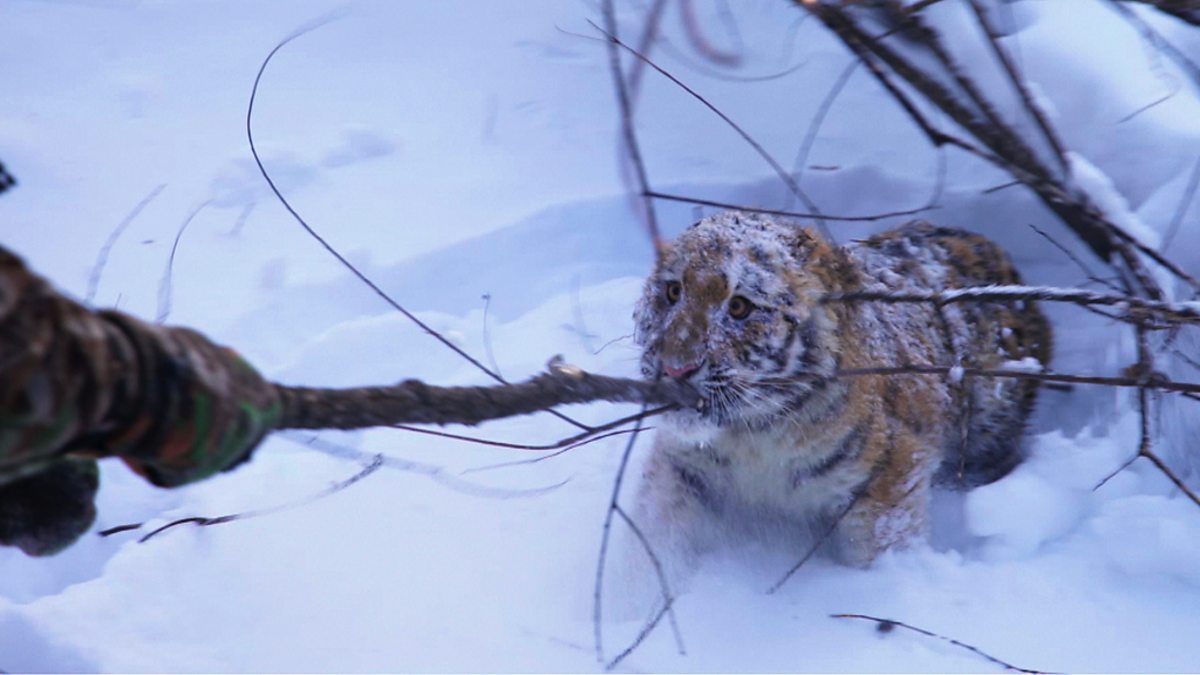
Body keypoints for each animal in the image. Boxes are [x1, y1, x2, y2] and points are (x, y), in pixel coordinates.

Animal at [630, 211, 1051, 571]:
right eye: (673, 292)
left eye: (739, 307)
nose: (675, 368)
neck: (751, 433)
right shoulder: (682, 472)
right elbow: (656, 545)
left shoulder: (890, 475)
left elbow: (879, 550)